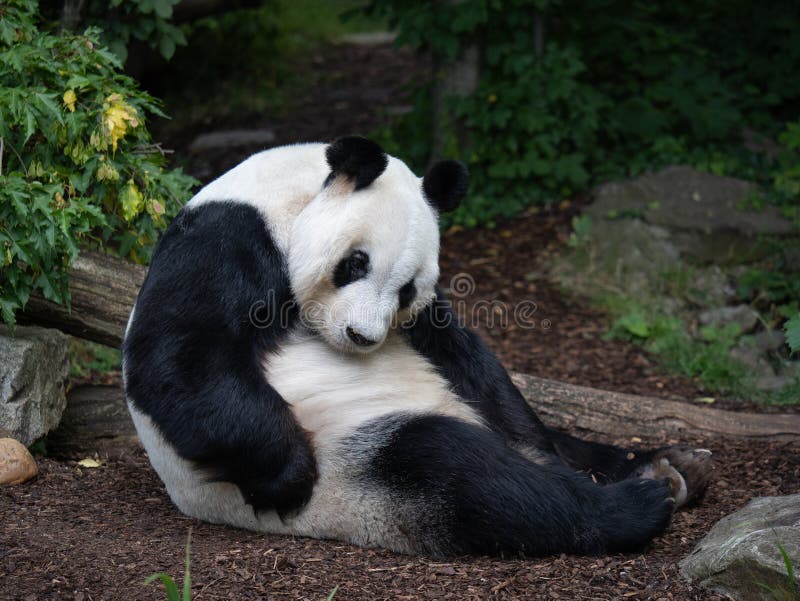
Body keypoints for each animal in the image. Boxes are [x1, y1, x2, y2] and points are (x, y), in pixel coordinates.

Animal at [122, 136, 712, 558]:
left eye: (406, 289)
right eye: (355, 262)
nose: (362, 338)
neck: (291, 193)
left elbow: (464, 356)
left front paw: (538, 443)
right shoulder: (230, 238)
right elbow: (179, 357)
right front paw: (289, 474)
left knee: (546, 448)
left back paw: (667, 464)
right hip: (356, 468)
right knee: (466, 475)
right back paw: (637, 503)